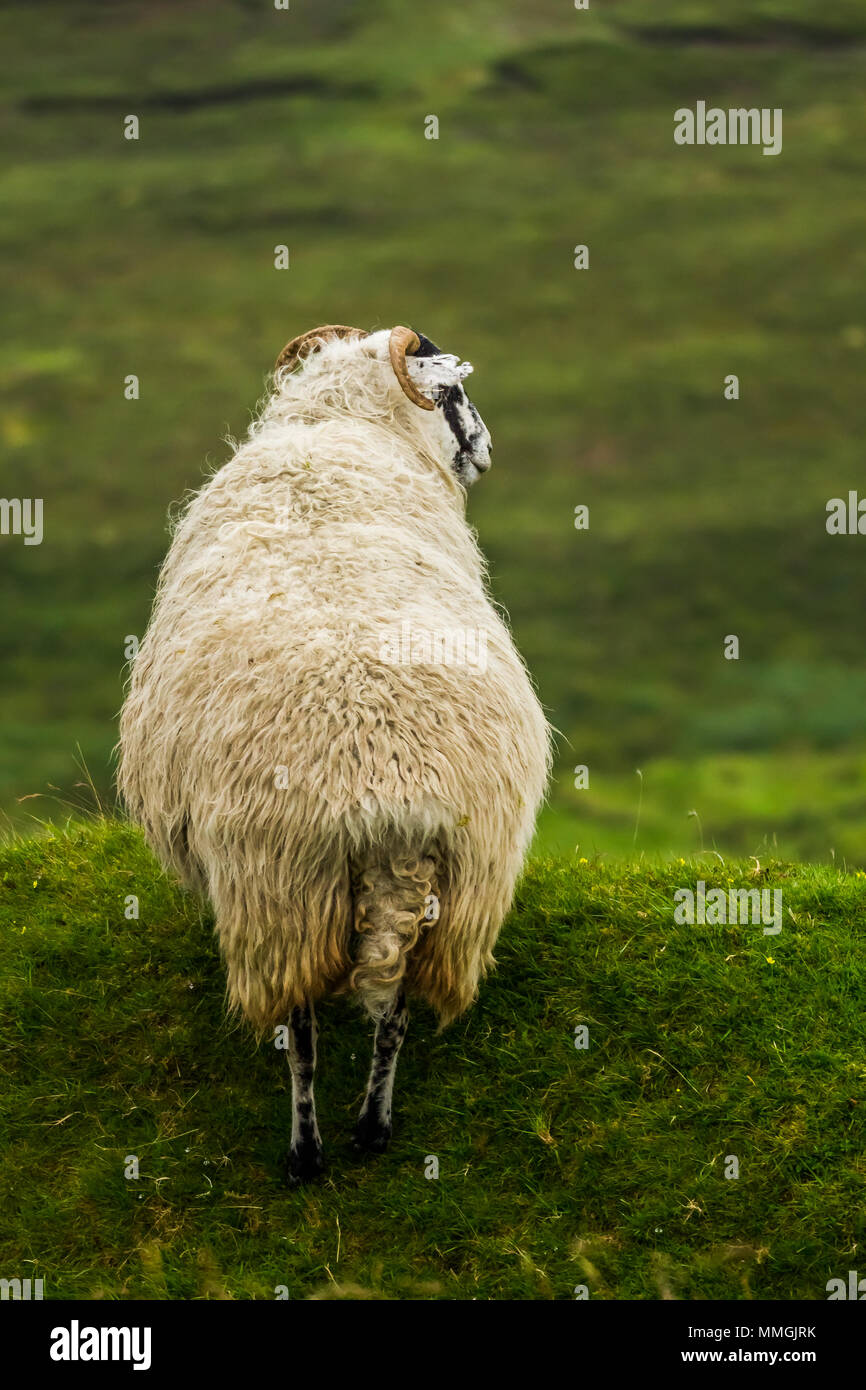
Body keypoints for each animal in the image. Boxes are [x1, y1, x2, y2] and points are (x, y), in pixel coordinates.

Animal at [117, 324, 550, 1183]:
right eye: (456, 393)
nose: (487, 451)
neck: (340, 422)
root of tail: (387, 800)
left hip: (283, 889)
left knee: (304, 1034)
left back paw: (306, 1151)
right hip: (446, 893)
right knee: (395, 1015)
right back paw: (371, 1127)